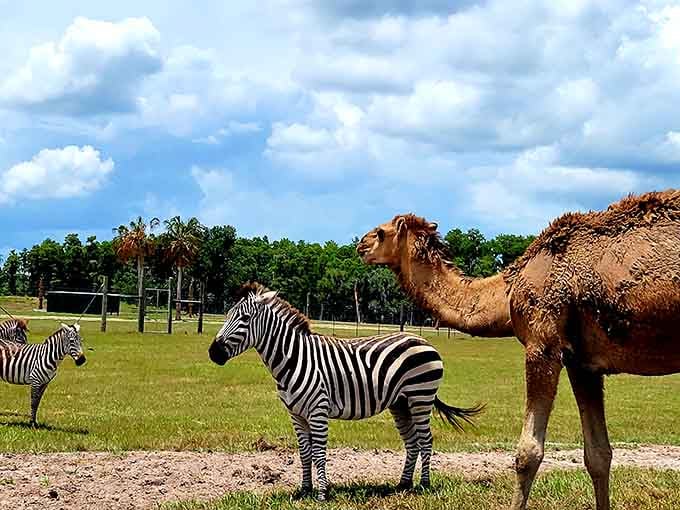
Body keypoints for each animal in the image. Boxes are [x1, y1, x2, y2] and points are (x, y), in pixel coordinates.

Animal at [209, 283, 482, 501]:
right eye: (227, 315)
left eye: (244, 319)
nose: (213, 353)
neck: (293, 359)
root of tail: (424, 341)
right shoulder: (296, 415)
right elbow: (304, 453)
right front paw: (305, 490)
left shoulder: (318, 410)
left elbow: (319, 453)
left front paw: (322, 493)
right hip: (400, 403)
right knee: (412, 441)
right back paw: (403, 484)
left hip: (420, 398)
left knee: (426, 440)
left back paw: (423, 485)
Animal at [356, 190, 680, 510]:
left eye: (381, 232)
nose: (360, 244)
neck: (507, 291)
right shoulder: (583, 363)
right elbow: (598, 454)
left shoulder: (543, 345)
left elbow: (528, 452)